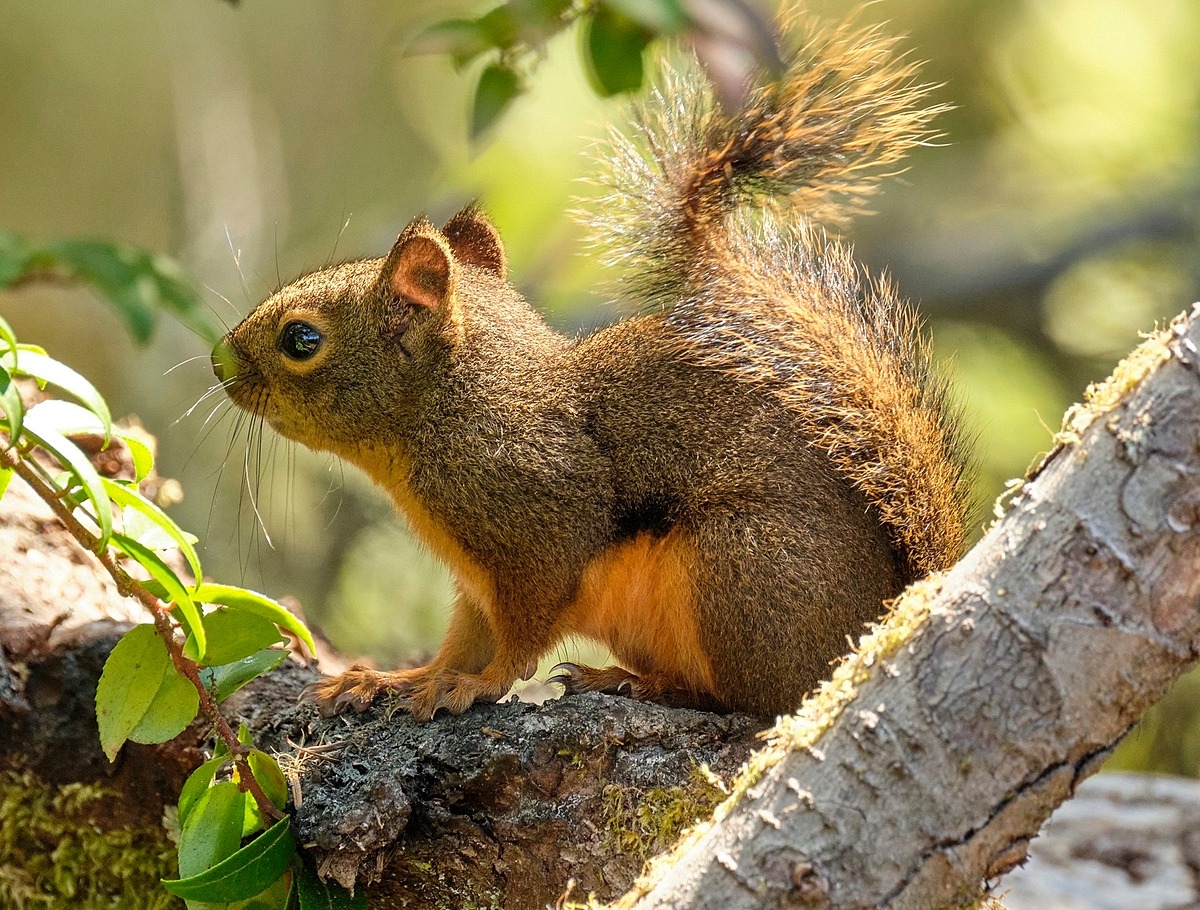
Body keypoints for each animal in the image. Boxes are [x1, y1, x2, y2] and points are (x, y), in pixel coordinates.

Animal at [211, 8, 971, 721]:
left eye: (300, 341)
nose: (220, 363)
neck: (450, 411)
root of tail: (885, 610)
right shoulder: (476, 579)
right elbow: (464, 637)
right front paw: (399, 679)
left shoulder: (539, 528)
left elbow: (519, 638)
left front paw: (471, 686)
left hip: (741, 573)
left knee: (756, 701)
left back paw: (657, 688)